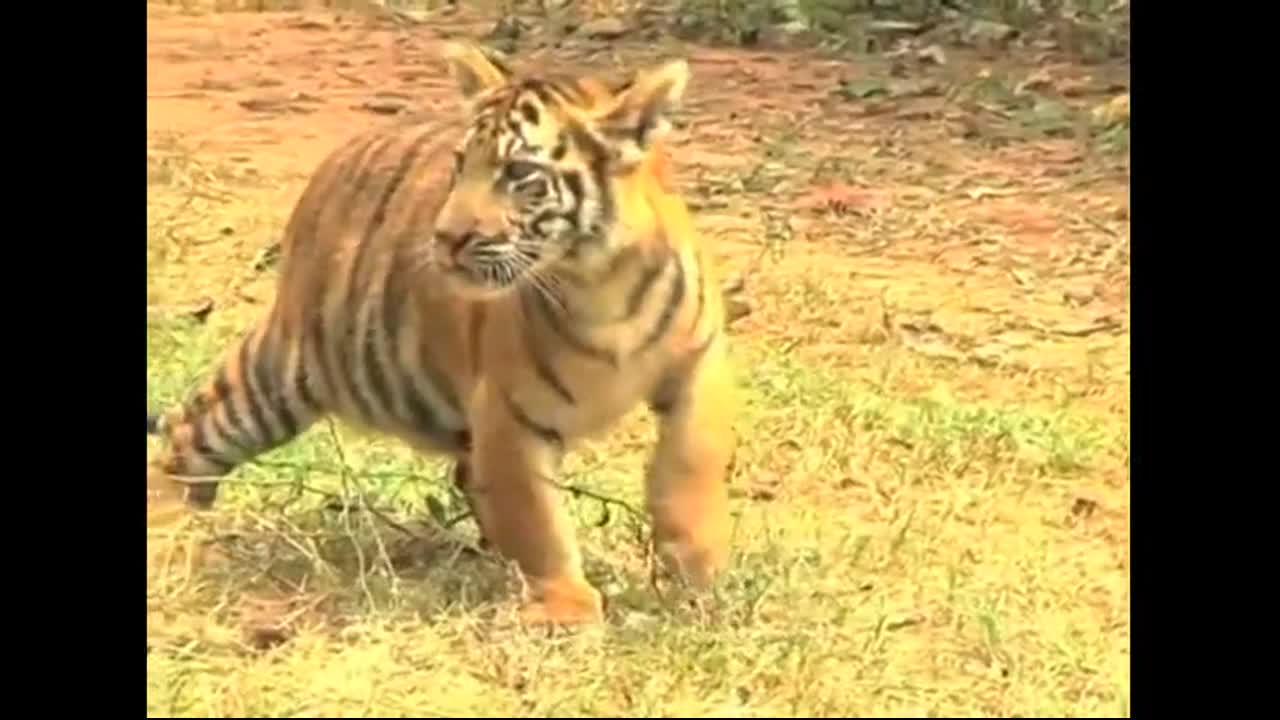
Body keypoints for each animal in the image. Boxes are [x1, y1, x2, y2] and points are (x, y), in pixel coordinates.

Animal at [145, 42, 738, 626]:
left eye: (519, 172)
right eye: (461, 164)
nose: (448, 237)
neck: (597, 279)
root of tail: (336, 159)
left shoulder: (698, 368)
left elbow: (691, 464)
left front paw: (697, 575)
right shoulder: (509, 412)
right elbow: (536, 520)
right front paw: (565, 606)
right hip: (283, 373)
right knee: (191, 428)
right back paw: (167, 523)